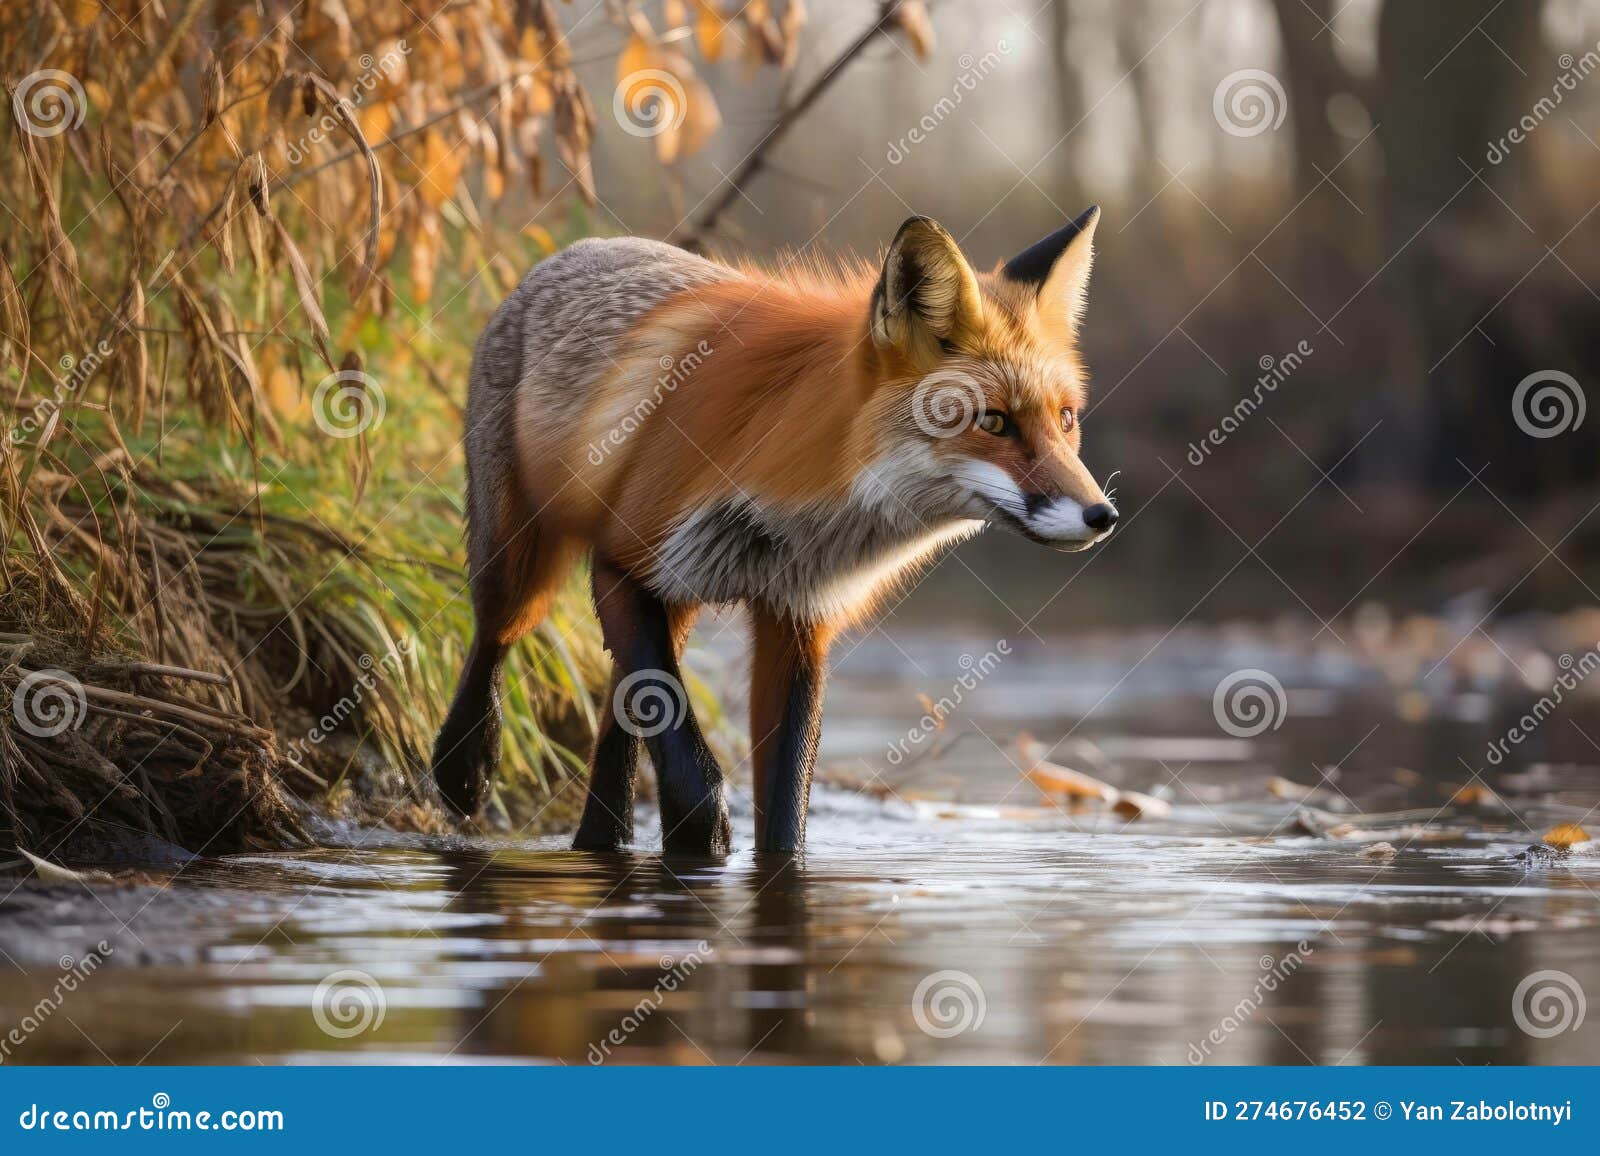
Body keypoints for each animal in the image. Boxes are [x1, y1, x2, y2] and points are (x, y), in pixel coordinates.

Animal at [431, 207, 1118, 854]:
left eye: (1065, 420)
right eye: (995, 422)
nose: (1102, 516)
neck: (803, 523)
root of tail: (576, 251)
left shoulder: (798, 615)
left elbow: (786, 810)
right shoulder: (625, 562)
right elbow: (697, 780)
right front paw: (701, 841)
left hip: (675, 606)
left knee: (618, 726)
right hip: (524, 563)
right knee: (495, 635)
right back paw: (464, 768)